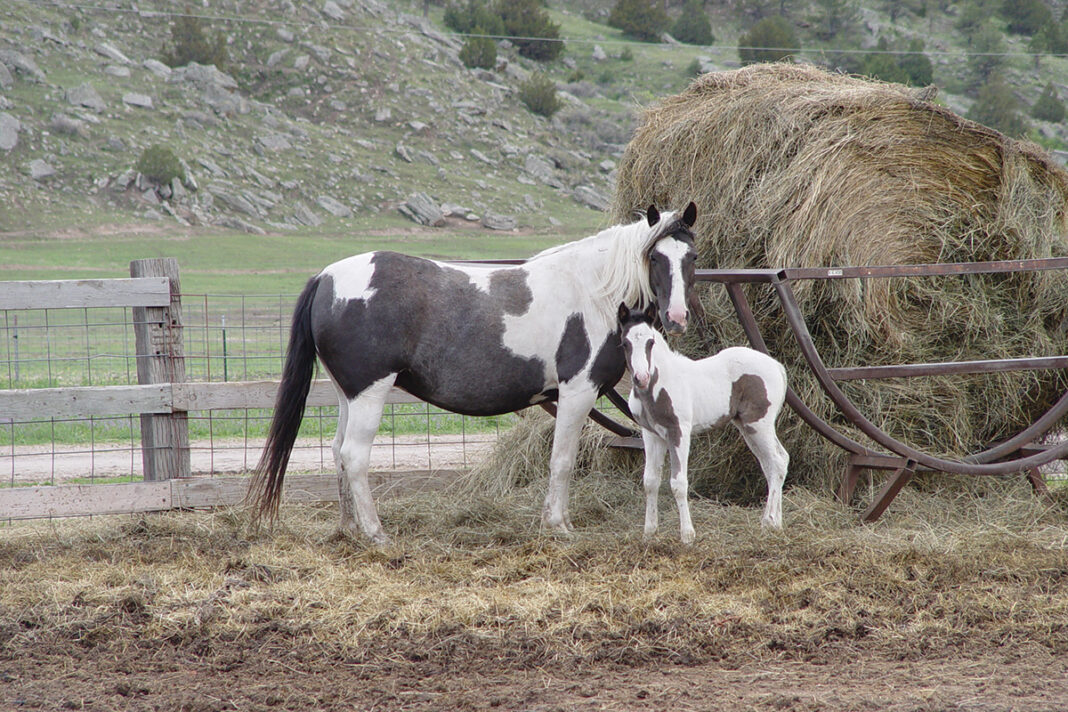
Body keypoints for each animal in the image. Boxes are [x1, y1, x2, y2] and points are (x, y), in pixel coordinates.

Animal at [248, 203, 700, 544]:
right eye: (655, 257)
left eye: (691, 257)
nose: (677, 318)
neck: (593, 291)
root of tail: (326, 278)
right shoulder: (578, 392)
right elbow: (562, 460)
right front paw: (559, 525)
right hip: (370, 393)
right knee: (354, 457)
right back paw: (376, 534)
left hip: (349, 394)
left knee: (337, 452)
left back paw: (349, 529)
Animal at [618, 303, 789, 543]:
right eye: (625, 343)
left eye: (650, 342)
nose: (640, 378)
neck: (660, 383)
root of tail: (777, 366)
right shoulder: (651, 435)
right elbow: (650, 481)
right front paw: (649, 533)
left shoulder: (679, 432)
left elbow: (678, 483)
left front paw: (687, 535)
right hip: (748, 427)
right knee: (773, 463)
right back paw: (776, 524)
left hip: (759, 424)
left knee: (777, 462)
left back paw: (769, 521)